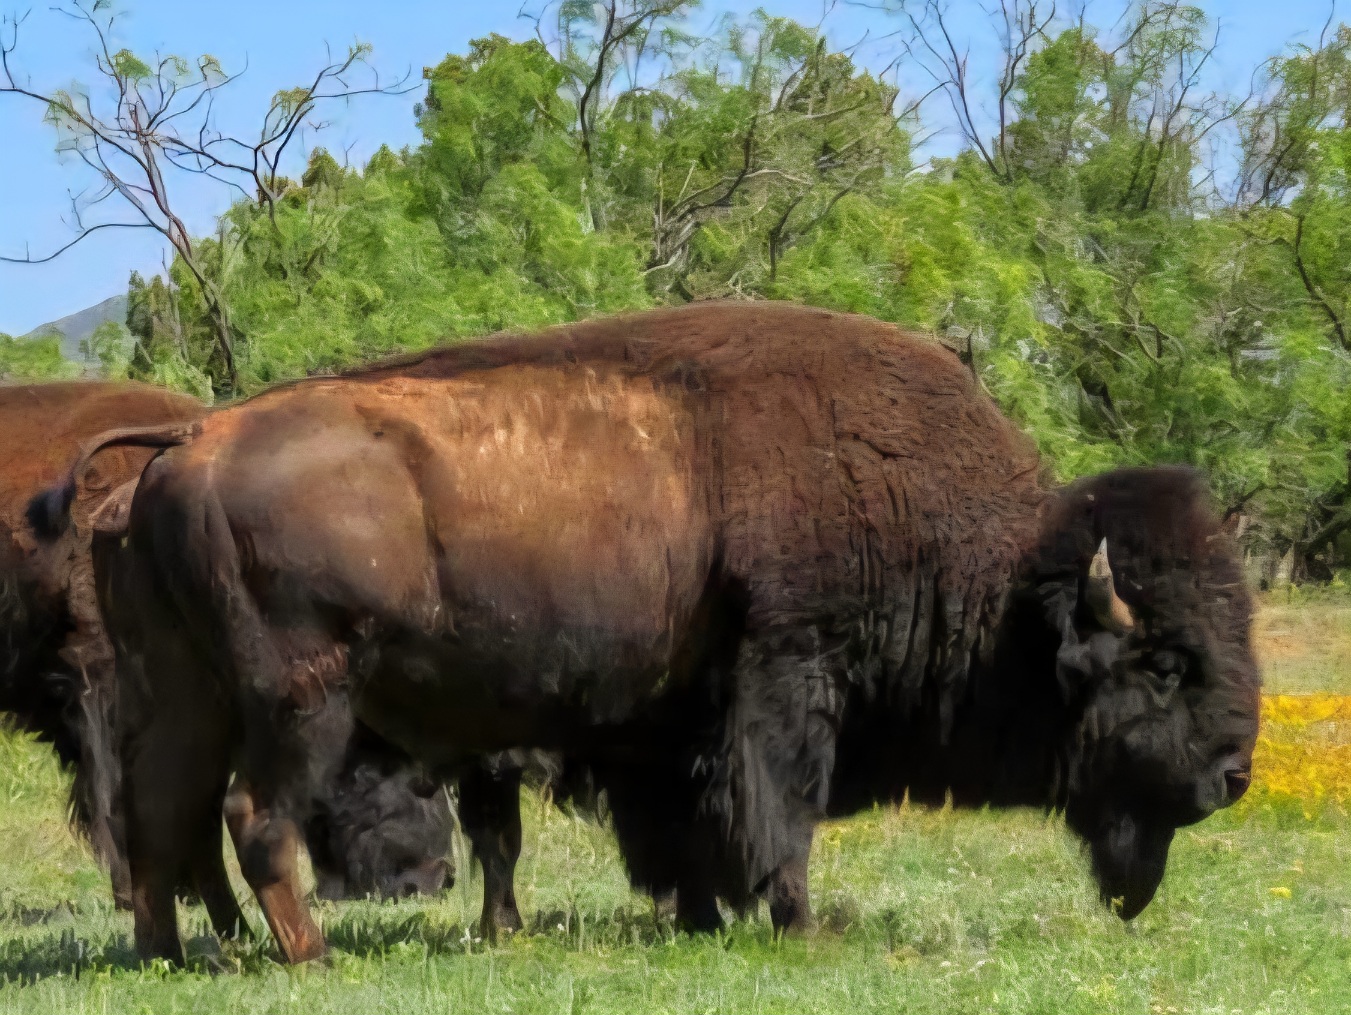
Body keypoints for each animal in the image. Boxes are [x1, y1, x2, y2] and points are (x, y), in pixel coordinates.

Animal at [59, 302, 1259, 963]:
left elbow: (687, 820)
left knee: (165, 818)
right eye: (1165, 664)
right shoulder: (789, 665)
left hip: (190, 696)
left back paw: (175, 956)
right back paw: (306, 957)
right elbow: (775, 806)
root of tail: (191, 442)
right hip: (298, 698)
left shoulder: (671, 722)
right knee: (254, 816)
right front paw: (793, 919)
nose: (1234, 773)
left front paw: (702, 915)